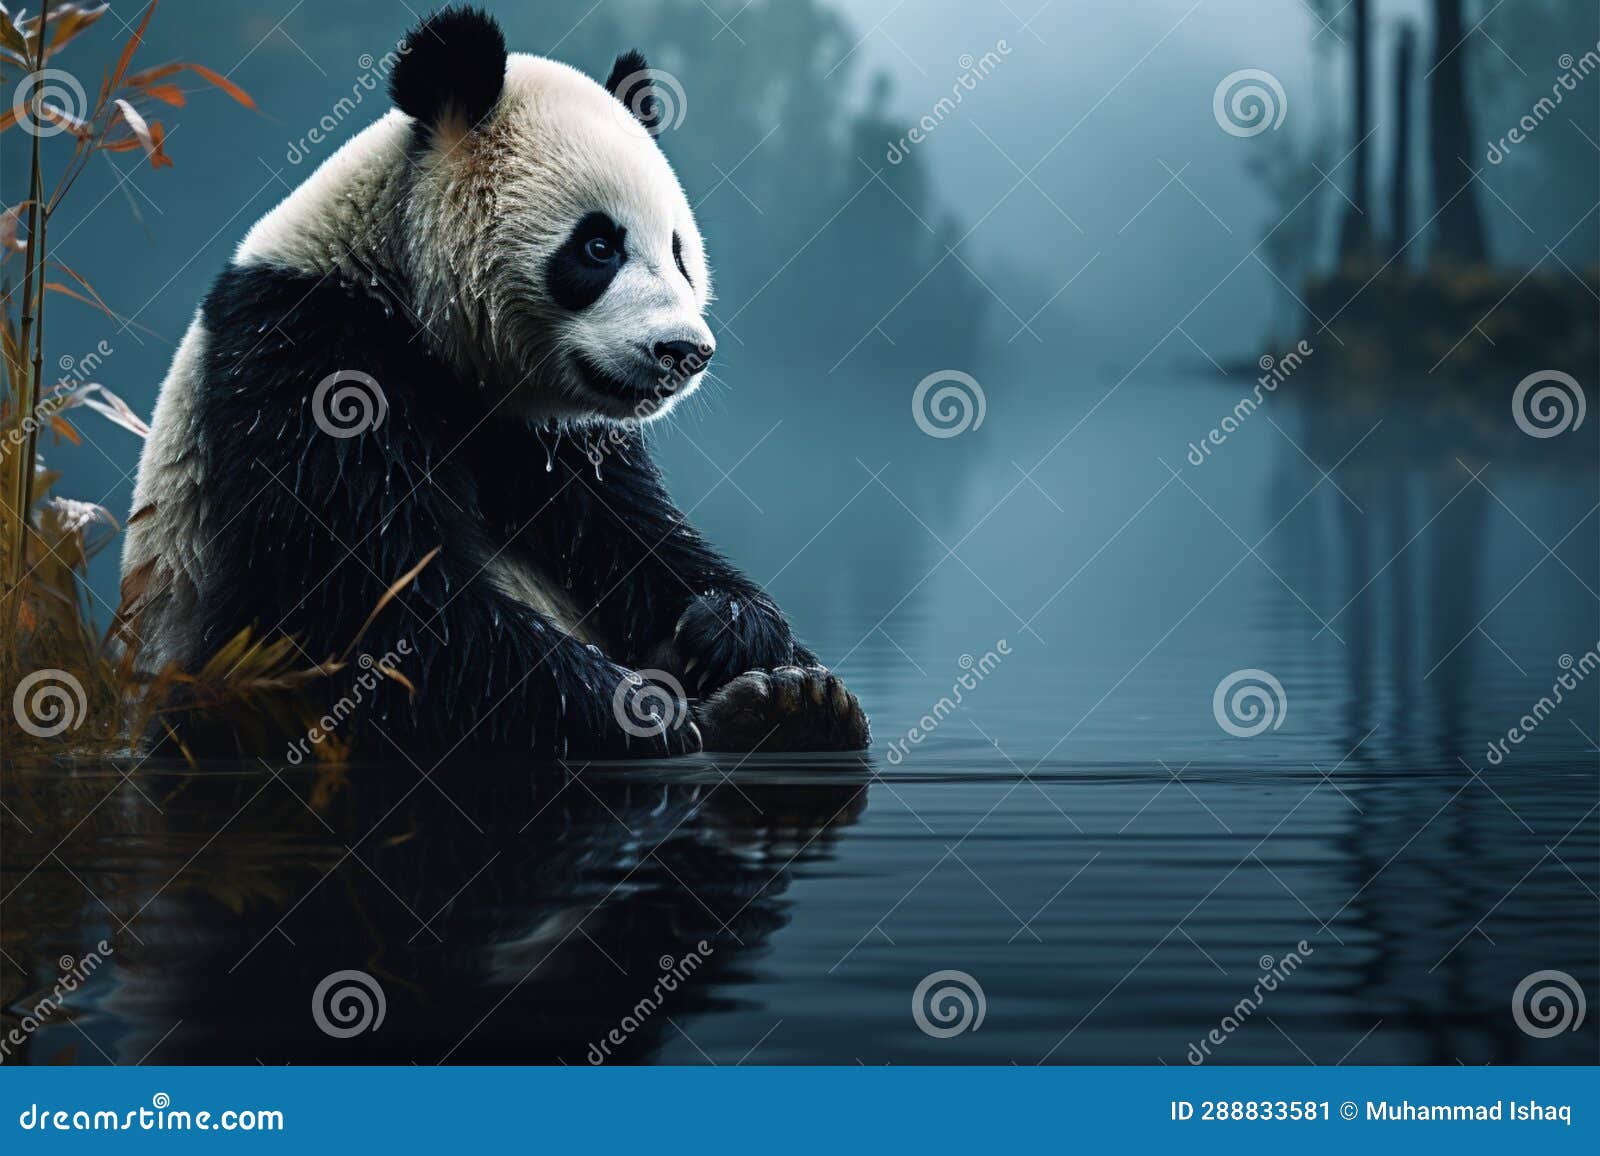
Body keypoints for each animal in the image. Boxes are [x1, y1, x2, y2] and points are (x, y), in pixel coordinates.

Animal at [118, 5, 868, 759]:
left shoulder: (554, 436)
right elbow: (380, 611)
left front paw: (739, 643)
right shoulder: (313, 358)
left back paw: (794, 707)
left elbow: (638, 537)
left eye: (680, 252)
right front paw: (650, 710)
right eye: (599, 246)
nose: (684, 351)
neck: (401, 285)